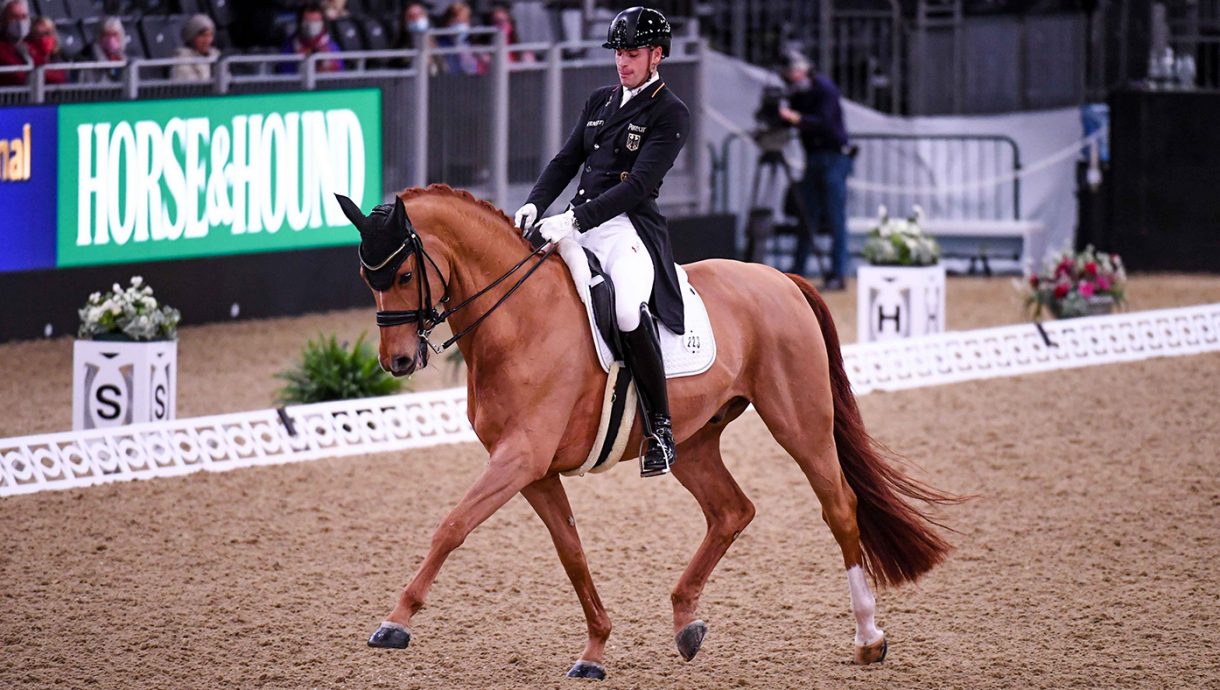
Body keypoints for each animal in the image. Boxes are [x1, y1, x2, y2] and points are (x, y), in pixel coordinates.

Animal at [335, 184, 954, 679]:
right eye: (367, 277)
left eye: (405, 274)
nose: (397, 361)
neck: (519, 319)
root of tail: (780, 276)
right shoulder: (534, 472)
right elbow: (572, 552)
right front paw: (594, 651)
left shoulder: (519, 458)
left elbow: (452, 526)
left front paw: (394, 623)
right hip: (694, 443)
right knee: (732, 511)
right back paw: (686, 622)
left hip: (799, 421)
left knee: (839, 506)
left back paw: (868, 638)